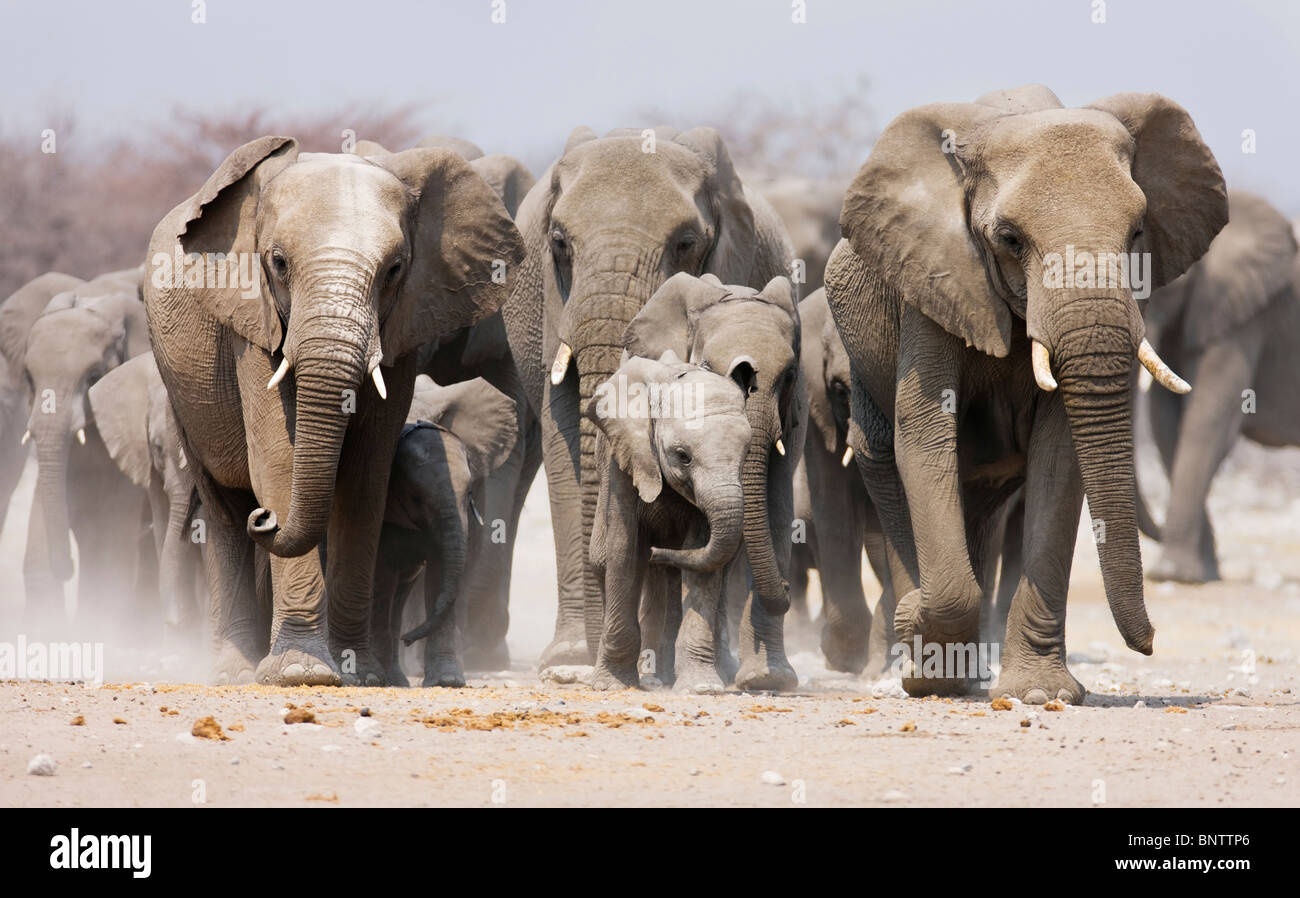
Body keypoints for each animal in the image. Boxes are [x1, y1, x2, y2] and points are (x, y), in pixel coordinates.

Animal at [371, 376, 518, 687]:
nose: (408, 639)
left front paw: (447, 682)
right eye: (415, 497)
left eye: (470, 492)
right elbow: (380, 571)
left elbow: (443, 571)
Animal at [586, 352, 752, 693]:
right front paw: (612, 685)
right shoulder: (624, 459)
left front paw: (701, 687)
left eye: (747, 453)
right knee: (602, 560)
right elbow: (624, 551)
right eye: (682, 455)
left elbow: (702, 564)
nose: (655, 551)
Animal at [824, 84, 1227, 703]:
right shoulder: (931, 281)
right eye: (1010, 240)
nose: (1151, 643)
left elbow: (1060, 459)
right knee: (890, 470)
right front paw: (920, 646)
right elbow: (925, 435)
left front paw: (1039, 694)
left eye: (1138, 232)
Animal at [1137, 190, 1300, 583]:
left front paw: (1175, 575)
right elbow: (1167, 422)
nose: (1158, 532)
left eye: (1164, 279)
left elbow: (1207, 421)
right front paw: (1198, 575)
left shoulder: (1241, 318)